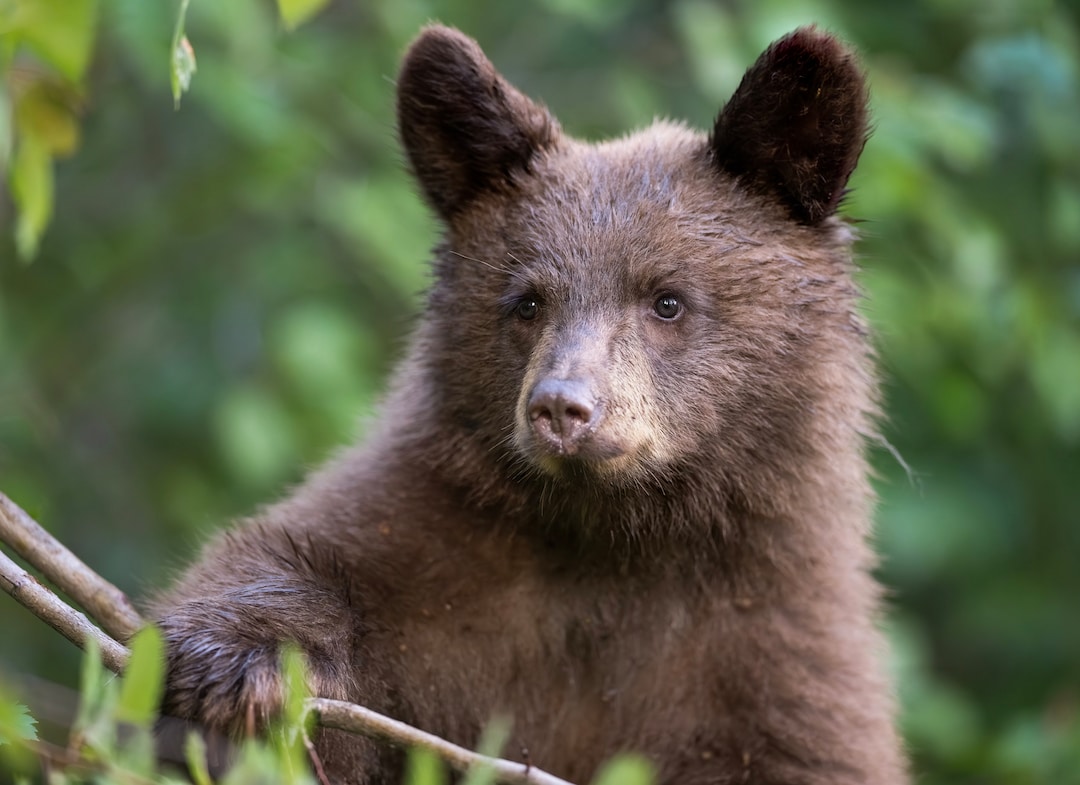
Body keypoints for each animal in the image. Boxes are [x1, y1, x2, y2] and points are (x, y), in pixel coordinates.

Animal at [150, 24, 908, 785]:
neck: (615, 538)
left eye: (667, 299)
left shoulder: (771, 647)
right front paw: (230, 659)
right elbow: (302, 564)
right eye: (527, 301)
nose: (562, 407)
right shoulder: (426, 547)